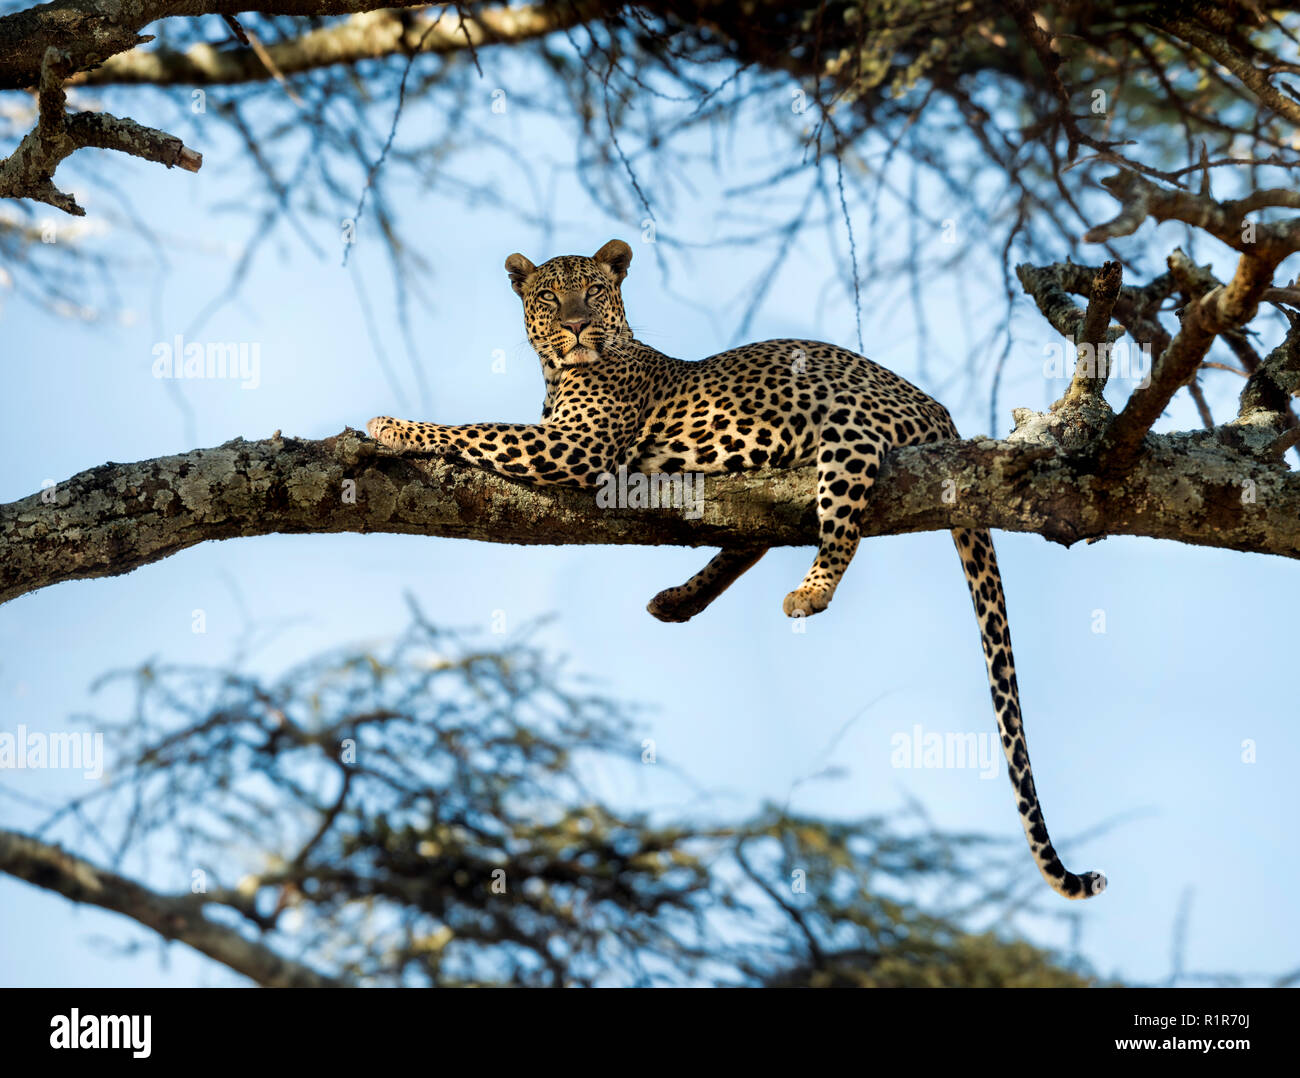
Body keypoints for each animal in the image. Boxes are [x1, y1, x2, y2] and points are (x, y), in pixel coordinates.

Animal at [367, 239, 1106, 901]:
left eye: (595, 291)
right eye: (549, 296)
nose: (575, 324)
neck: (562, 373)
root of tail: (944, 411)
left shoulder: (577, 446)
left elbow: (474, 428)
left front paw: (391, 426)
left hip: (847, 426)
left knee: (839, 525)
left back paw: (809, 591)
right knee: (756, 535)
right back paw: (680, 599)